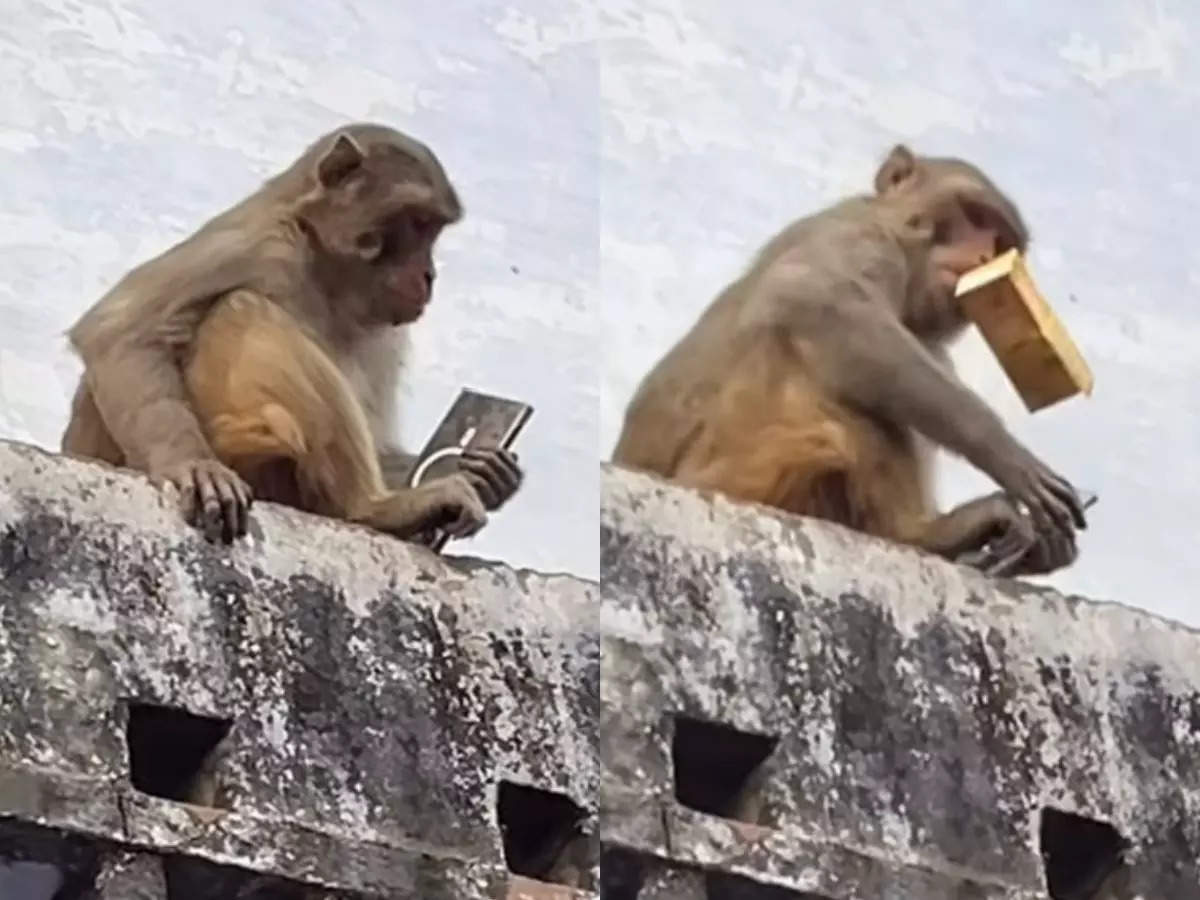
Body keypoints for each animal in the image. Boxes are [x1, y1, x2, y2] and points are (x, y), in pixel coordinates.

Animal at [60, 123, 523, 544]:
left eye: (434, 229)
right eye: (418, 222)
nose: (428, 275)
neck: (325, 271)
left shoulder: (388, 330)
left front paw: (490, 472)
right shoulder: (256, 245)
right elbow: (119, 330)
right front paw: (191, 464)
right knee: (242, 309)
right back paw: (374, 509)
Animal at [612, 144, 1087, 577]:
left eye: (1001, 240)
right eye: (973, 214)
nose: (987, 255)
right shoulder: (861, 239)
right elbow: (822, 300)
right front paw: (1004, 453)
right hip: (736, 464)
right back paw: (919, 534)